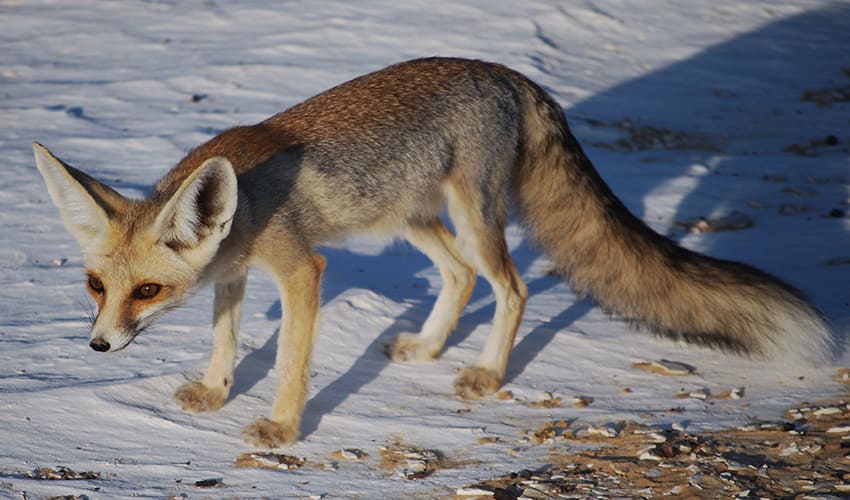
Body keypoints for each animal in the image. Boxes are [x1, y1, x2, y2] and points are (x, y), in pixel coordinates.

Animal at [34, 57, 833, 448]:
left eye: (146, 292)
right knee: (460, 277)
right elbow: (225, 340)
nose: (99, 346)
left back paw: (486, 373)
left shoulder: (300, 268)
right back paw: (427, 347)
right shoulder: (234, 273)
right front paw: (216, 392)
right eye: (95, 286)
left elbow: (290, 362)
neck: (247, 205)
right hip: (414, 219)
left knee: (512, 286)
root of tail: (513, 75)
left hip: (472, 215)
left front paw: (283, 430)